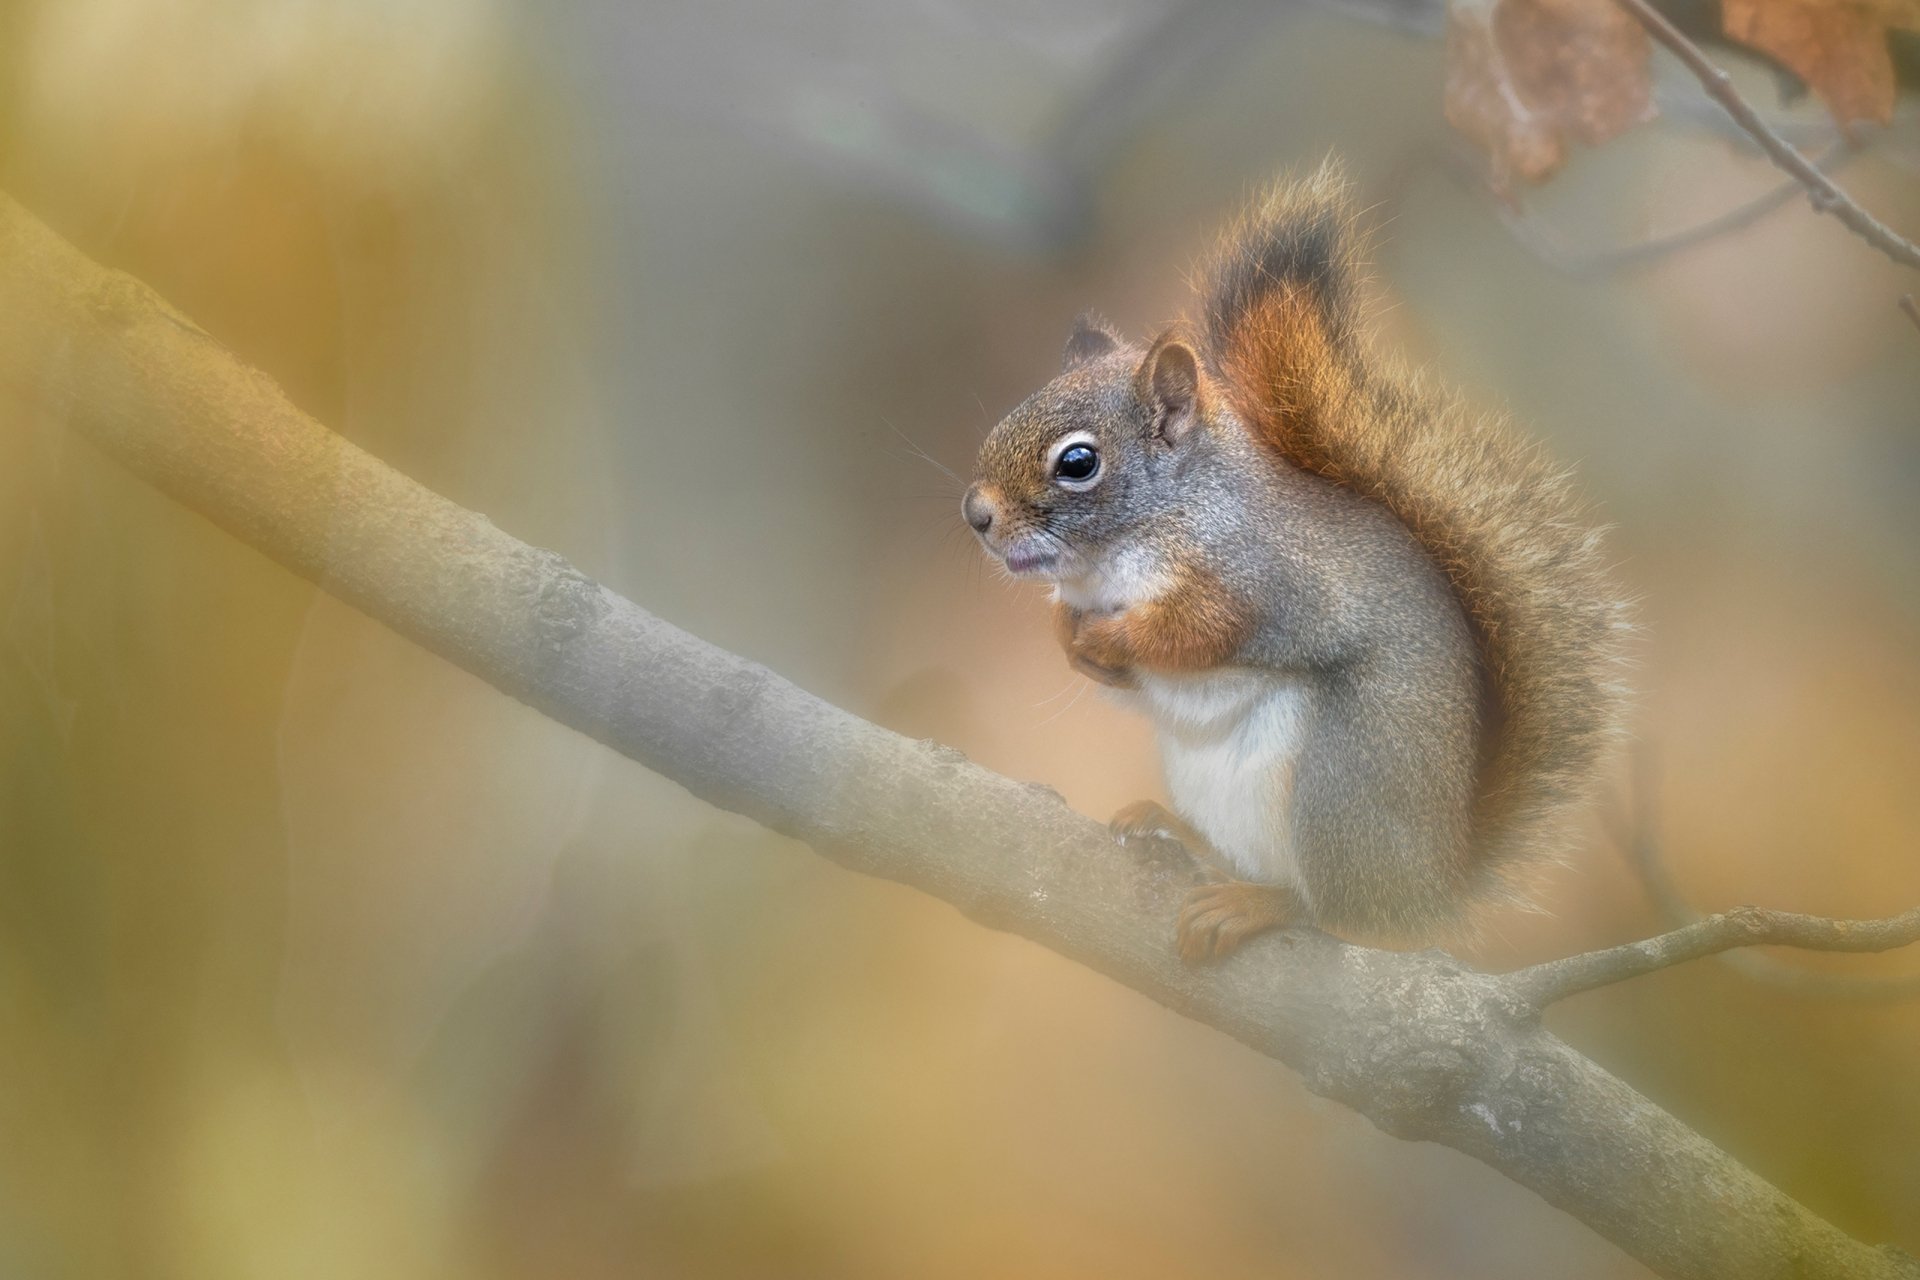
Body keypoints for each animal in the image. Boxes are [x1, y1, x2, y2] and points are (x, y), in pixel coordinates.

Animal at [962, 161, 1628, 961]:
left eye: (1078, 462)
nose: (975, 515)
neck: (1125, 550)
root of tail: (1431, 888)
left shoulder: (1265, 578)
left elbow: (1201, 632)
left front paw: (1111, 635)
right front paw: (1068, 637)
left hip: (1337, 785)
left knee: (1332, 912)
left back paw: (1259, 905)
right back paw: (1175, 832)